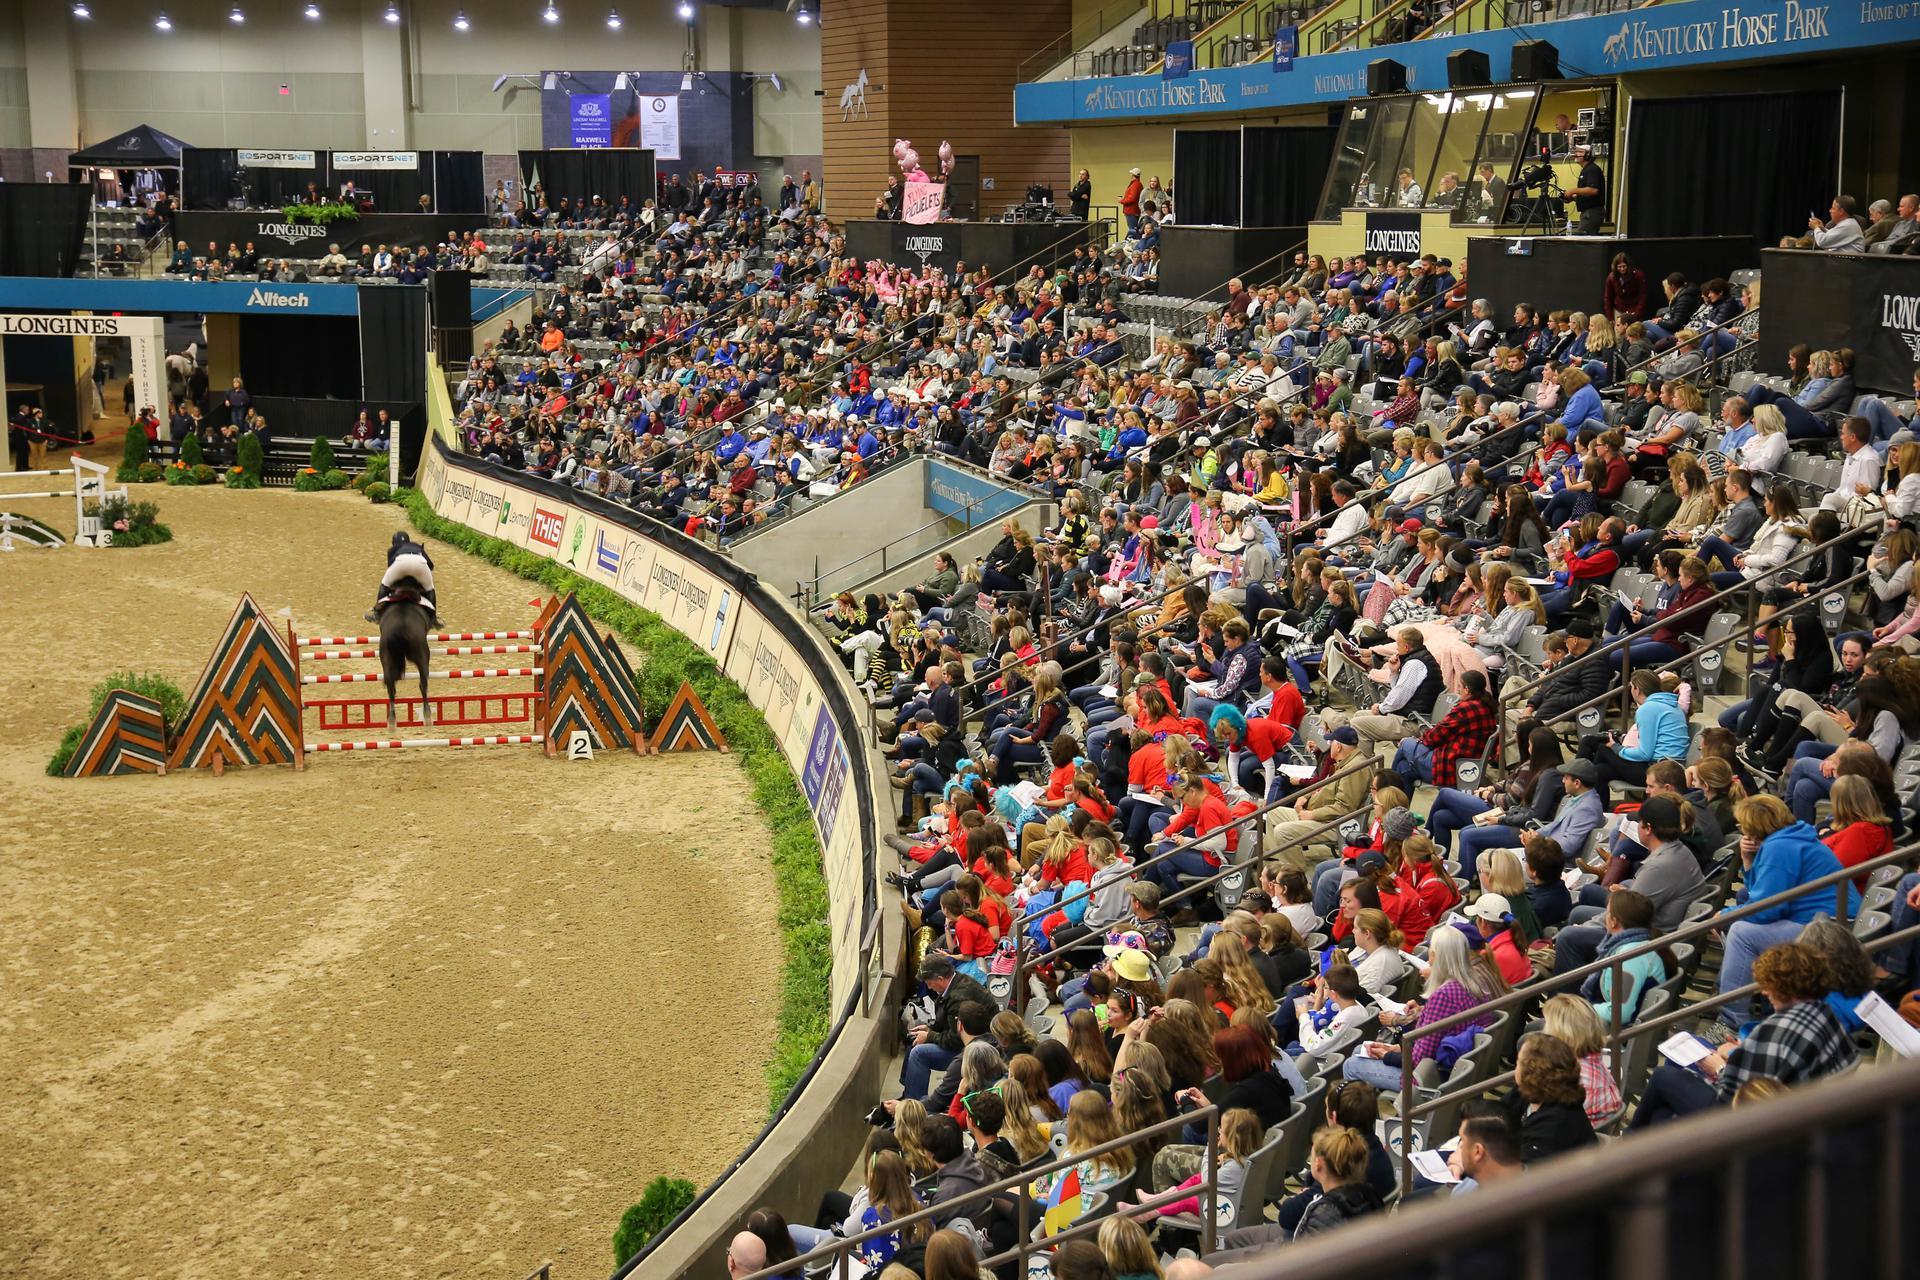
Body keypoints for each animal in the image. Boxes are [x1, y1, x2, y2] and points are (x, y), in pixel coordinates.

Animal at [377, 579, 434, 732]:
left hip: (386, 657)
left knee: (391, 686)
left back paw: (391, 721)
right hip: (423, 655)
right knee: (423, 684)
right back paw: (427, 716)